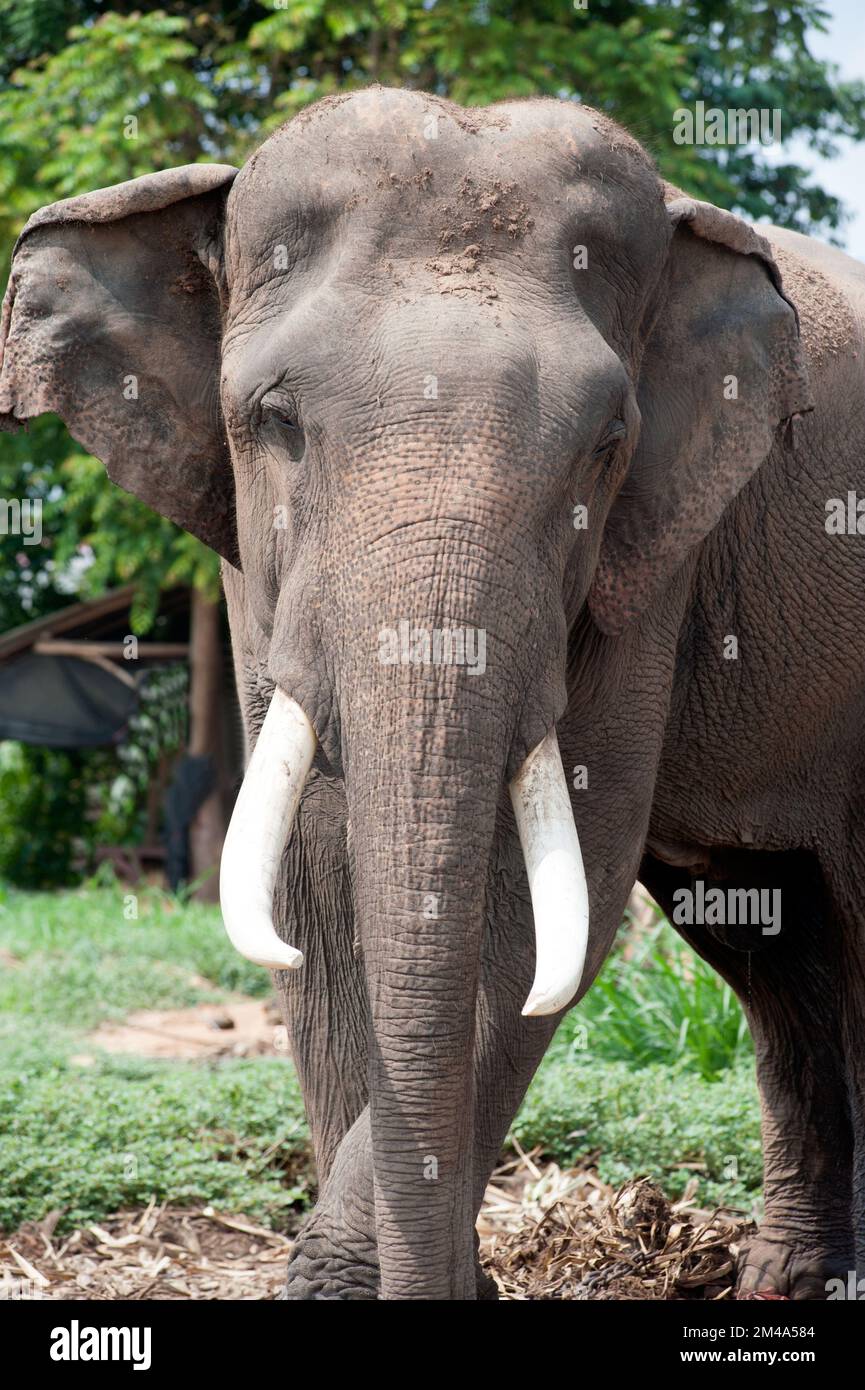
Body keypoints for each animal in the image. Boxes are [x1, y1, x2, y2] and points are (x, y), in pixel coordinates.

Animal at [2, 86, 865, 1302]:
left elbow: (558, 883)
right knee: (778, 949)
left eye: (605, 446)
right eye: (274, 421)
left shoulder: (654, 554)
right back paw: (787, 1282)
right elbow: (313, 876)